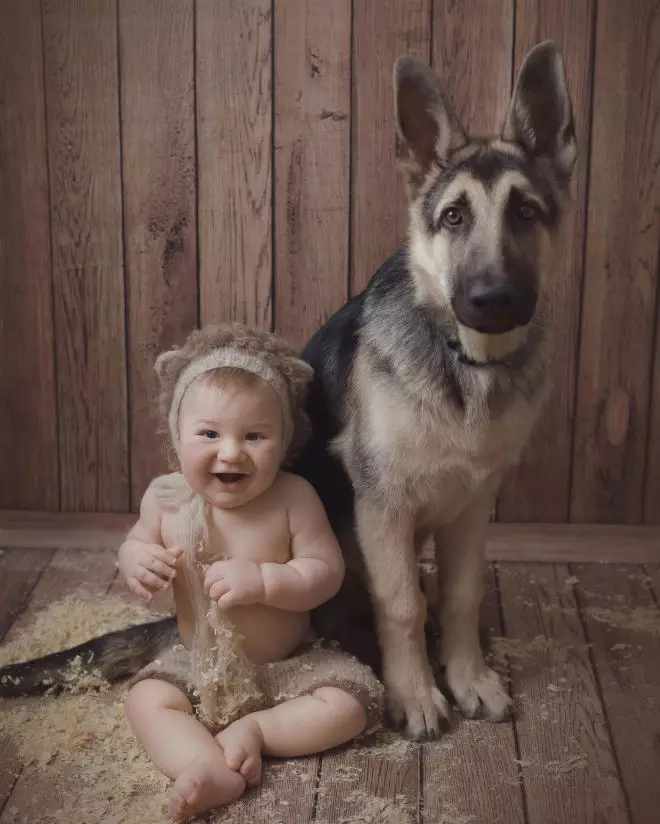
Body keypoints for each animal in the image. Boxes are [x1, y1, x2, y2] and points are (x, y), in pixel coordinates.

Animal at [0, 41, 576, 744]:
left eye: (526, 212)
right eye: (454, 217)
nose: (492, 300)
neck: (460, 359)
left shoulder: (471, 505)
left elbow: (462, 594)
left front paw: (467, 677)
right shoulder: (383, 508)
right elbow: (402, 603)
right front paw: (416, 692)